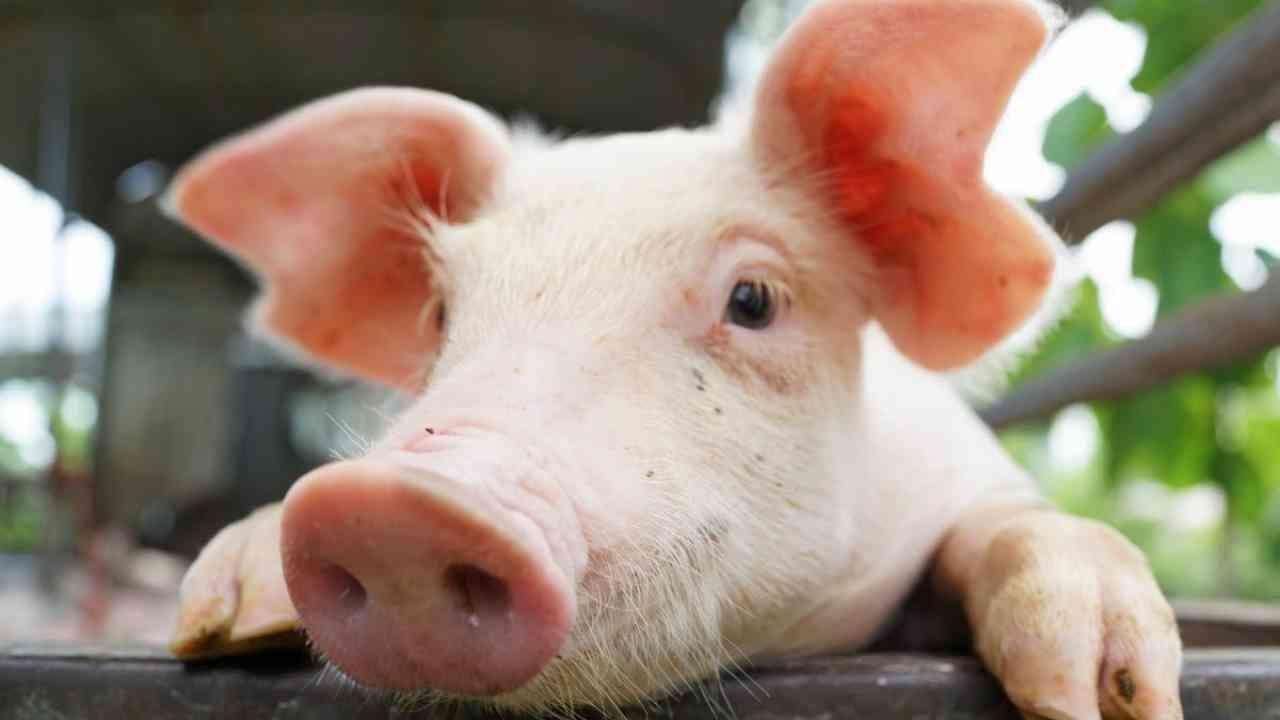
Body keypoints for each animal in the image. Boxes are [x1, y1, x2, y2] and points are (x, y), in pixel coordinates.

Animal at [165, 1, 1184, 718]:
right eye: (446, 310)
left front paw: (1098, 695)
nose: (397, 509)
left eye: (755, 300)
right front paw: (223, 607)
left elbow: (1013, 526)